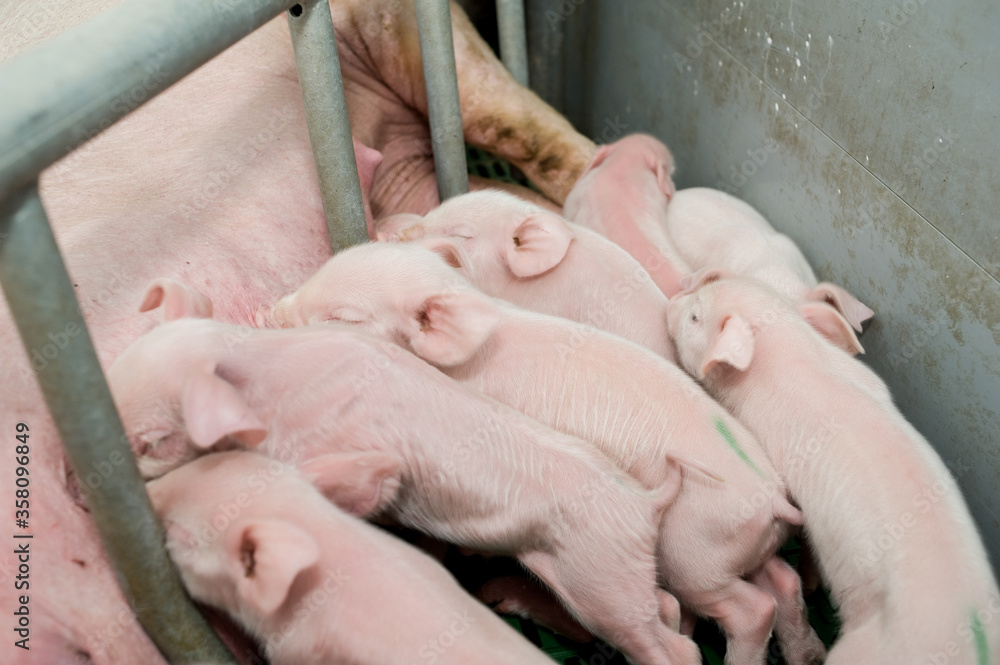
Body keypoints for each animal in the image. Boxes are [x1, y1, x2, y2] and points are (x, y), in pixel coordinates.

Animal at [268, 241, 827, 665]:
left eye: (344, 317)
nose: (266, 313)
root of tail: (771, 499)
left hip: (694, 555)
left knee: (750, 611)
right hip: (734, 553)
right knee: (783, 583)